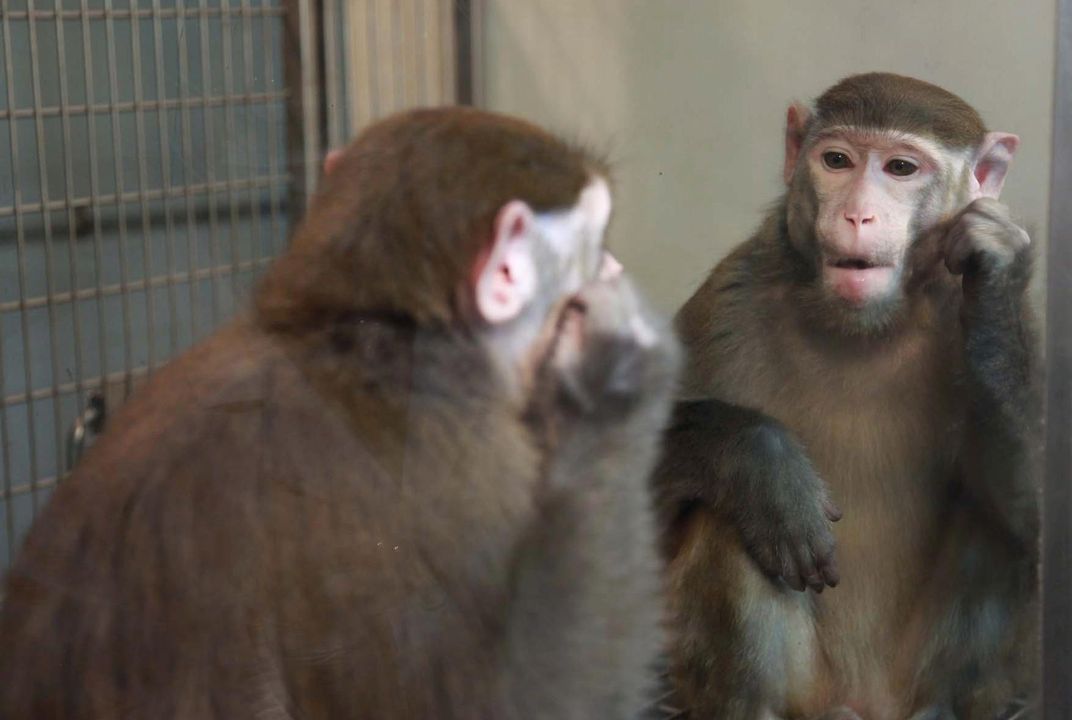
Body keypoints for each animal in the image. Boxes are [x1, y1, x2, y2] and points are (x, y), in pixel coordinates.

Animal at [0, 107, 681, 719]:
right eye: (598, 247)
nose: (617, 267)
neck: (359, 332)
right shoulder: (440, 462)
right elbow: (509, 704)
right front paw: (616, 377)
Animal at [653, 73, 1039, 720]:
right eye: (837, 161)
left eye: (901, 168)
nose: (858, 213)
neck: (867, 324)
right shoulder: (730, 295)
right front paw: (762, 462)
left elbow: (1040, 522)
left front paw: (996, 261)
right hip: (806, 689)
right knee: (727, 522)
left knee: (997, 516)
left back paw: (946, 706)